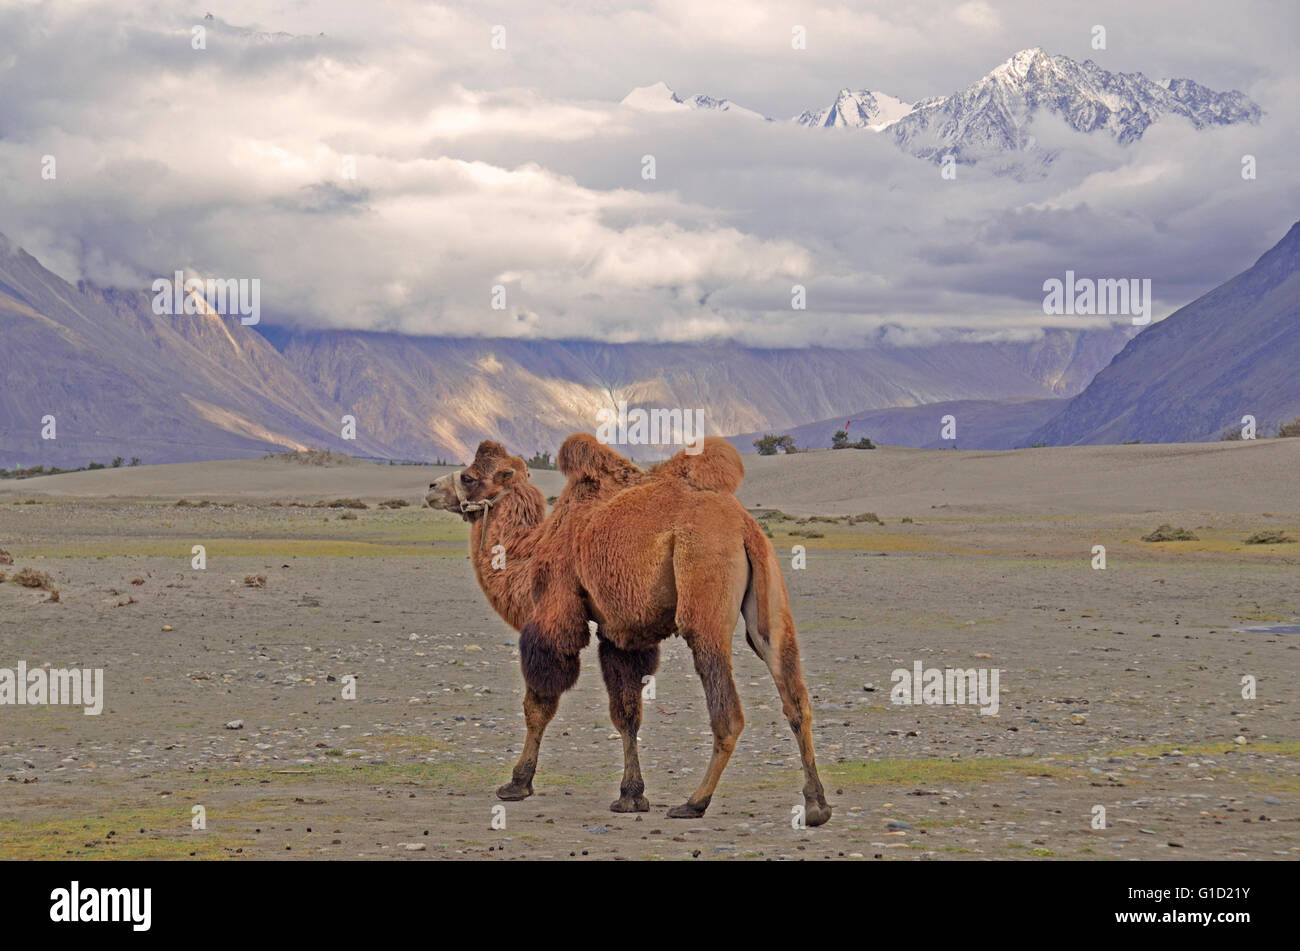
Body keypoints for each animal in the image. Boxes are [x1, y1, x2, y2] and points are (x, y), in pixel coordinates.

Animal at [426, 435, 831, 826]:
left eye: (469, 477)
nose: (431, 487)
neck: (534, 549)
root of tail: (744, 527)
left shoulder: (556, 610)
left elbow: (539, 704)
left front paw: (517, 783)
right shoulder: (620, 634)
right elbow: (627, 712)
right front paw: (631, 795)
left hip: (702, 590)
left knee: (728, 712)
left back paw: (694, 802)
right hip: (769, 598)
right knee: (793, 694)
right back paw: (816, 805)